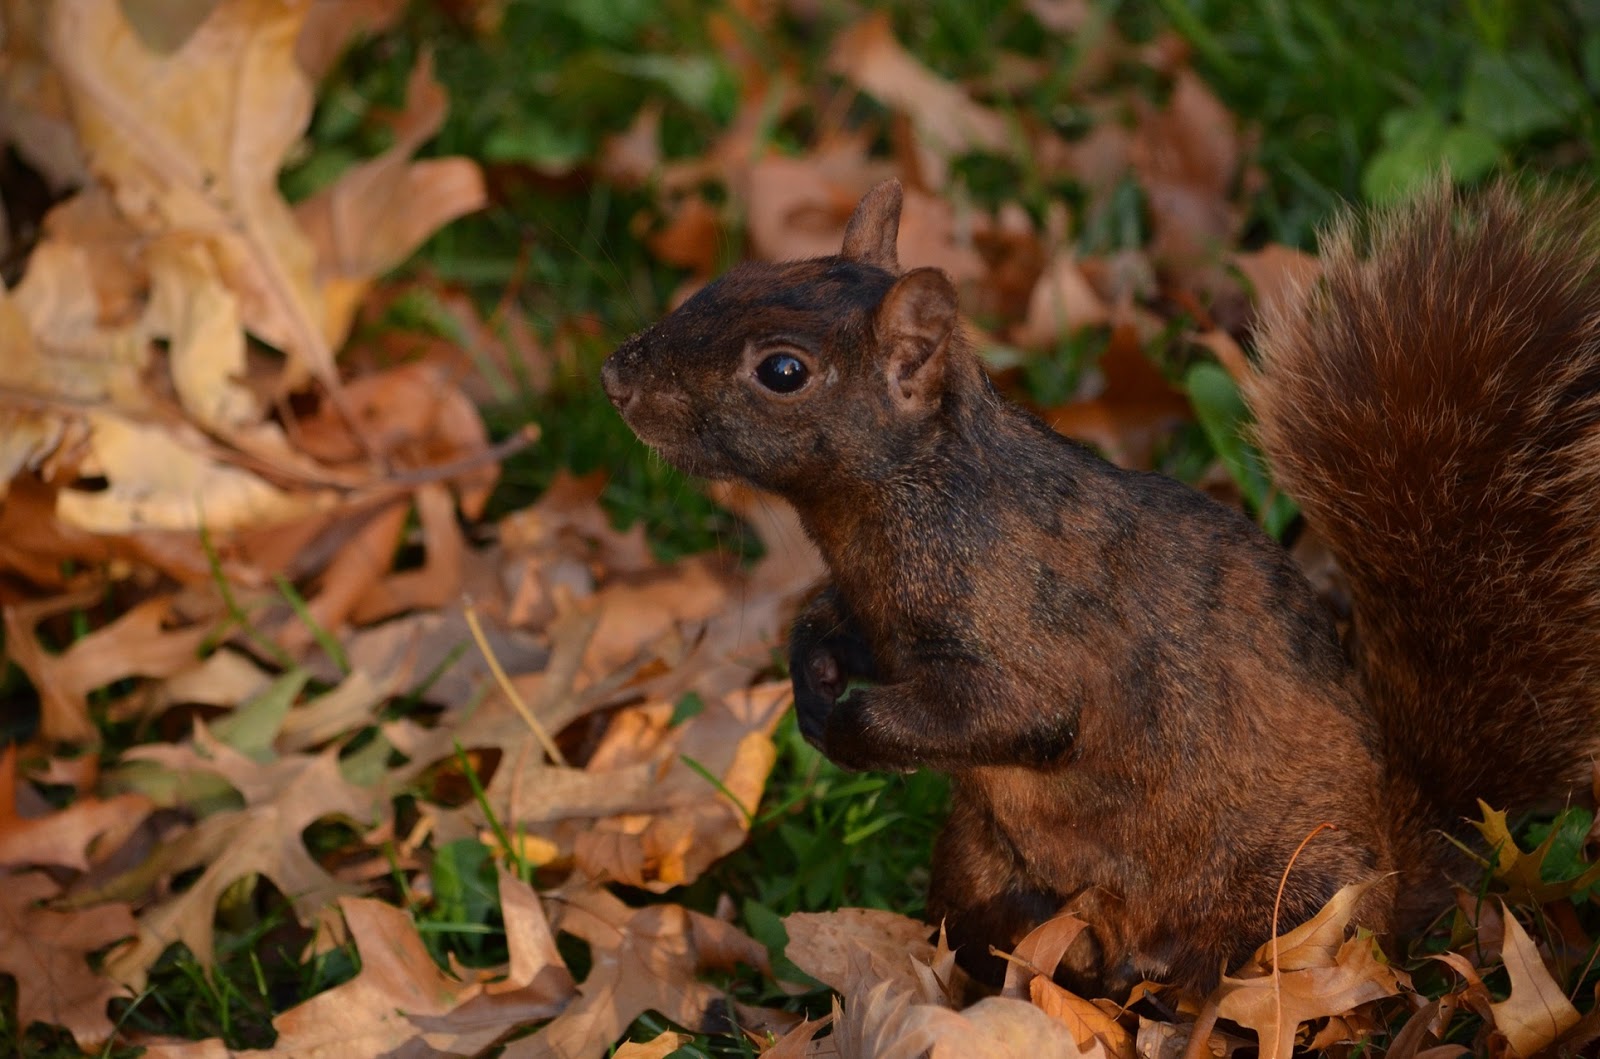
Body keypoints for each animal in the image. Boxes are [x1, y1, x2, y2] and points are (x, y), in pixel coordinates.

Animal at [600, 177, 1600, 996]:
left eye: (783, 371)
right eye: (738, 275)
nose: (615, 376)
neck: (890, 513)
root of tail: (1407, 861)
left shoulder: (1032, 632)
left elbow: (1017, 714)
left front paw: (850, 728)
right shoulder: (874, 611)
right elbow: (826, 623)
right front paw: (810, 680)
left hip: (1288, 897)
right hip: (981, 863)